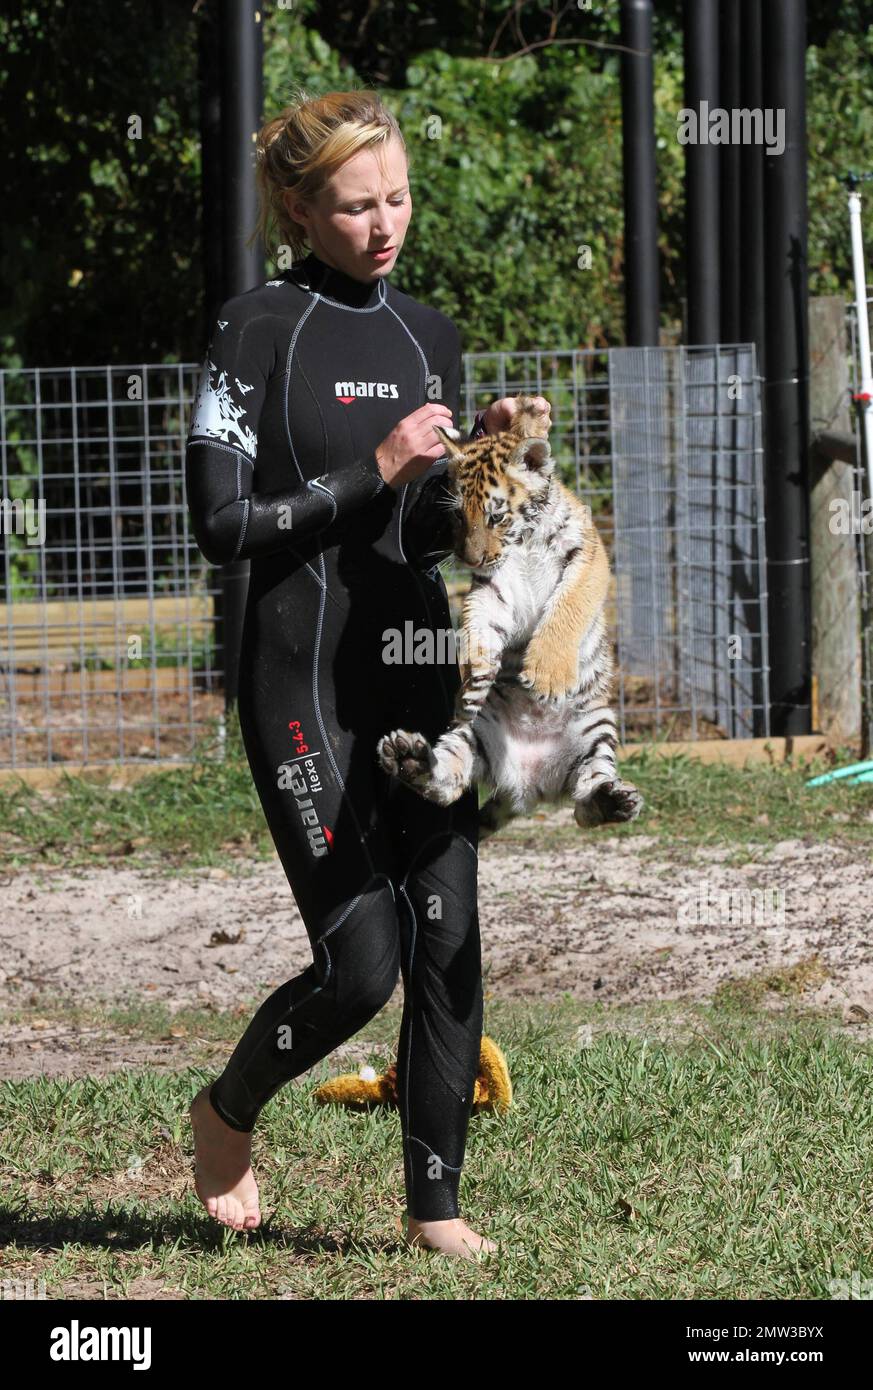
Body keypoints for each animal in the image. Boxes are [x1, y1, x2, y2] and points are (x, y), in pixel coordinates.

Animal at [376, 394, 644, 838]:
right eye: (458, 516)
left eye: (495, 516)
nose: (469, 558)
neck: (525, 539)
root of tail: (529, 785)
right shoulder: (493, 587)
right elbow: (477, 623)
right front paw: (473, 675)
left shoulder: (587, 559)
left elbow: (567, 606)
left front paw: (546, 675)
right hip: (474, 734)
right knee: (447, 780)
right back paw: (409, 759)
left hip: (597, 729)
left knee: (584, 804)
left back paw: (613, 801)